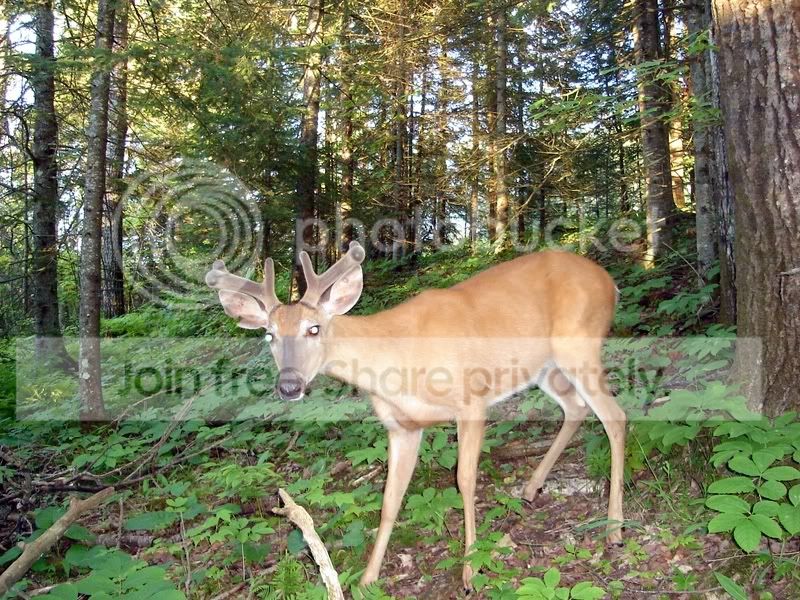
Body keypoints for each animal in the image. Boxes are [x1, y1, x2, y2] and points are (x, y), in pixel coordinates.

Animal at [205, 241, 626, 590]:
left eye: (314, 328)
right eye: (269, 335)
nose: (289, 386)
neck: (397, 363)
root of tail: (609, 280)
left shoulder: (471, 401)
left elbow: (464, 480)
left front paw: (470, 570)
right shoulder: (400, 427)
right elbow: (390, 499)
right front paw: (368, 579)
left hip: (579, 345)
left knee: (615, 417)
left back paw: (614, 528)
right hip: (544, 367)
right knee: (575, 408)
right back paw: (531, 487)